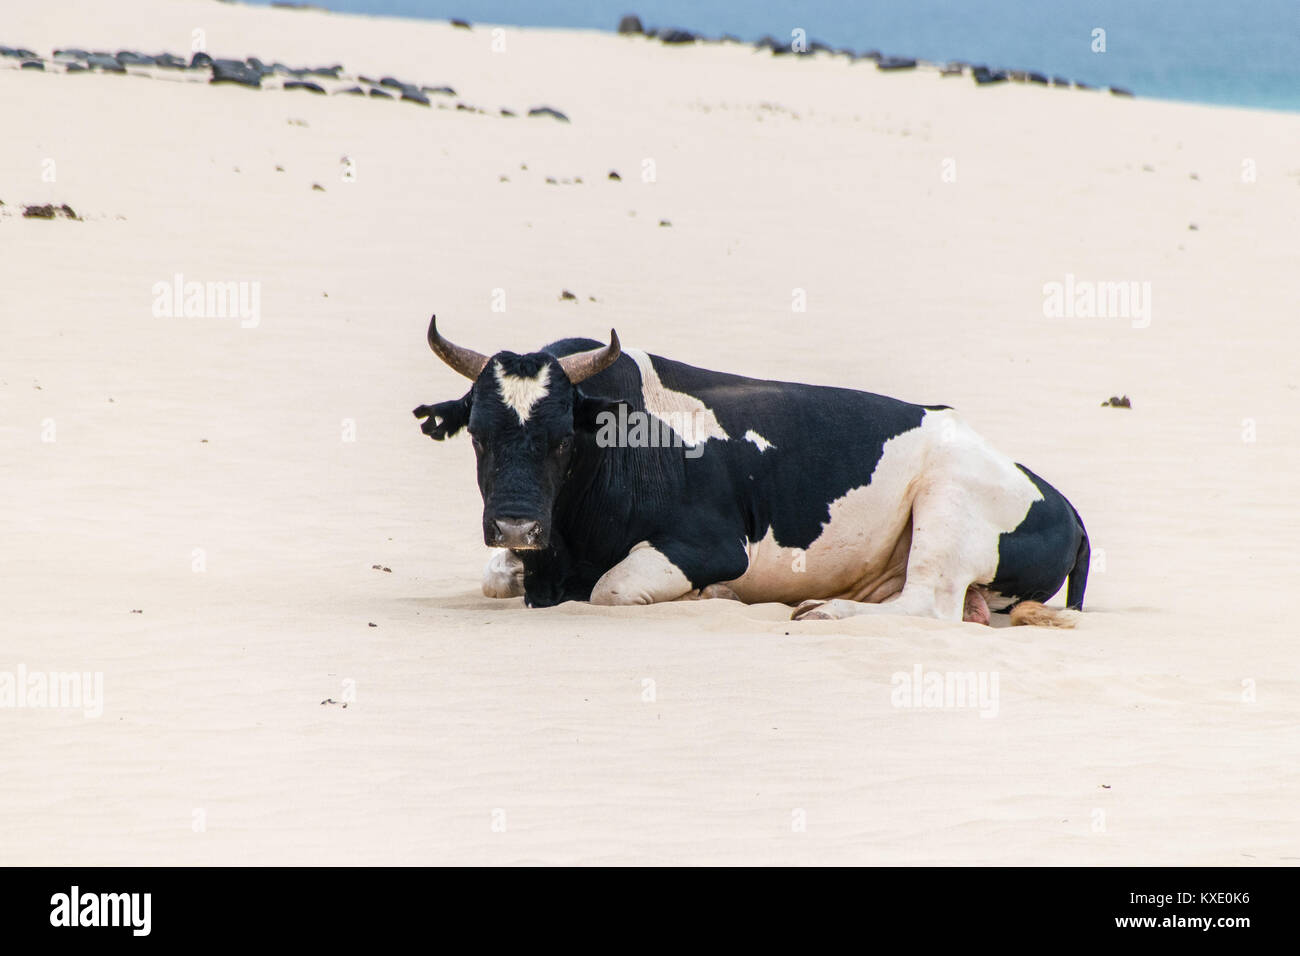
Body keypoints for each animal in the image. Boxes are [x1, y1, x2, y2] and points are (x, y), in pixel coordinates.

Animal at [413, 316, 1090, 626]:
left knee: (928, 604)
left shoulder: (710, 543)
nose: (516, 527)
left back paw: (824, 611)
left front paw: (713, 593)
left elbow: (613, 587)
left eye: (560, 442)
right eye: (477, 436)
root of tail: (1061, 500)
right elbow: (495, 578)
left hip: (948, 502)